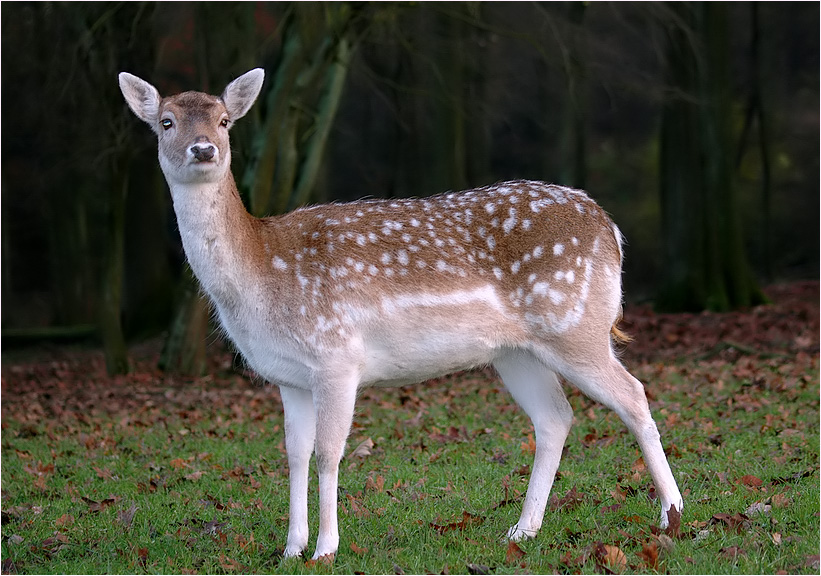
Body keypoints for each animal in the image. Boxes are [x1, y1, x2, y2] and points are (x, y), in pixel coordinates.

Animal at [118, 68, 683, 561]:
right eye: (166, 121)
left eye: (224, 120)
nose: (203, 148)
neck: (259, 274)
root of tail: (611, 229)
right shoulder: (288, 377)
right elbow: (295, 454)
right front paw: (290, 548)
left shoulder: (337, 356)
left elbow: (328, 452)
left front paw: (326, 549)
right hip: (517, 351)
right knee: (556, 417)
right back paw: (521, 531)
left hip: (576, 323)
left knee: (633, 394)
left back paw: (671, 515)